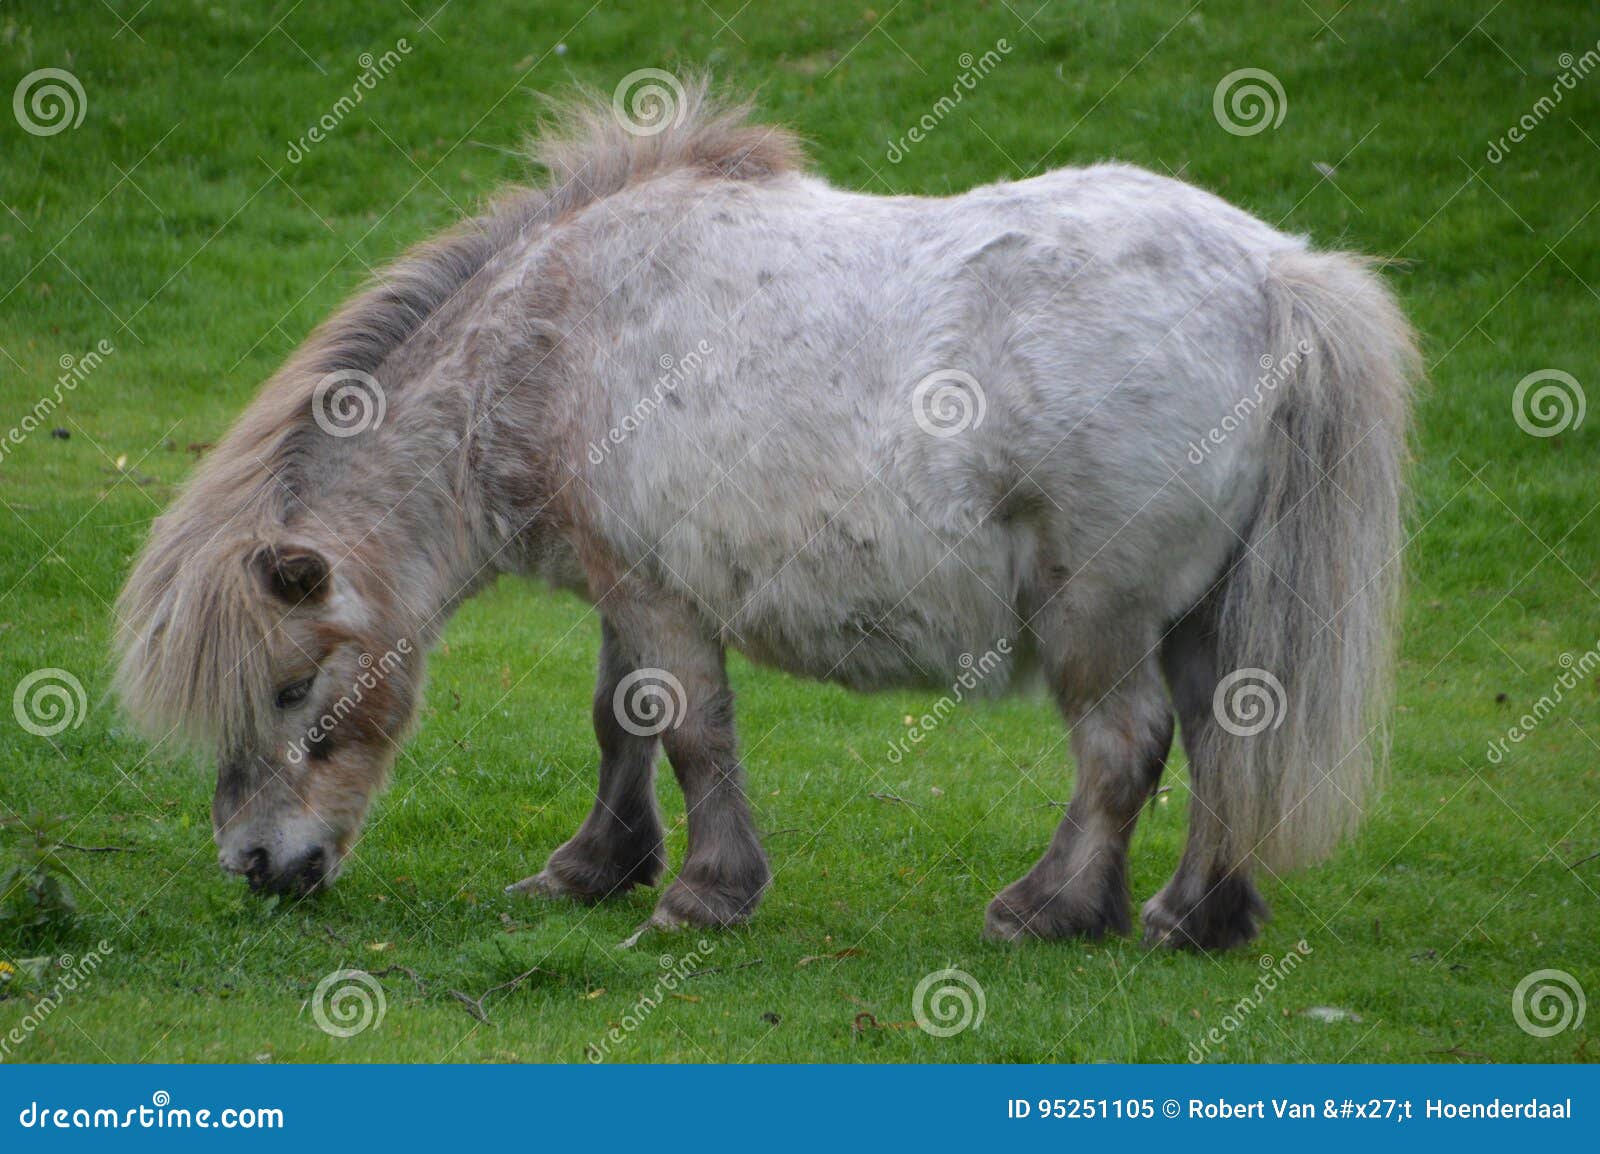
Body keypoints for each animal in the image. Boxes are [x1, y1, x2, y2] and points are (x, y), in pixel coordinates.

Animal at [113, 78, 1417, 950]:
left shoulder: (658, 593)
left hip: (1097, 610)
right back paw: (1194, 914)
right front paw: (594, 867)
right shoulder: (628, 582)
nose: (255, 862)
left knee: (1125, 743)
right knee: (1219, 735)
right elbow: (619, 720)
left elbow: (689, 729)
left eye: (292, 686)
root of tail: (1274, 278)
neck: (549, 345)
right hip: (1202, 606)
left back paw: (1049, 908)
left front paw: (702, 892)